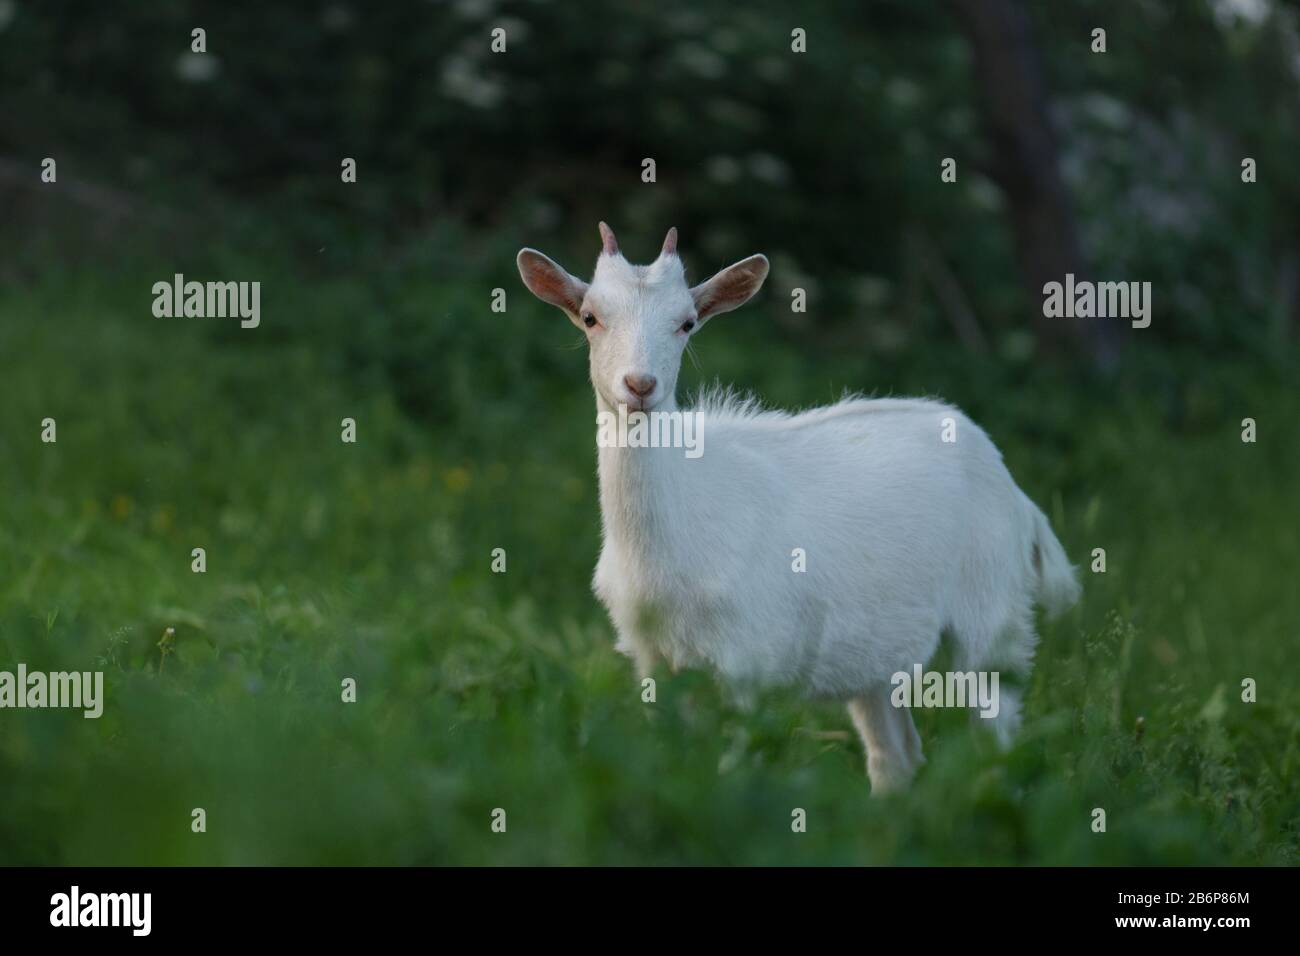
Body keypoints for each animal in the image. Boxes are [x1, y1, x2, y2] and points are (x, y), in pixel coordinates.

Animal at [517, 223, 1080, 794]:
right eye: (590, 317)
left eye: (687, 323)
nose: (640, 386)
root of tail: (1012, 488)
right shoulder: (654, 660)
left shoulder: (747, 659)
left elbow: (736, 760)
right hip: (875, 656)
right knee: (896, 754)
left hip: (992, 614)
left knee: (996, 731)